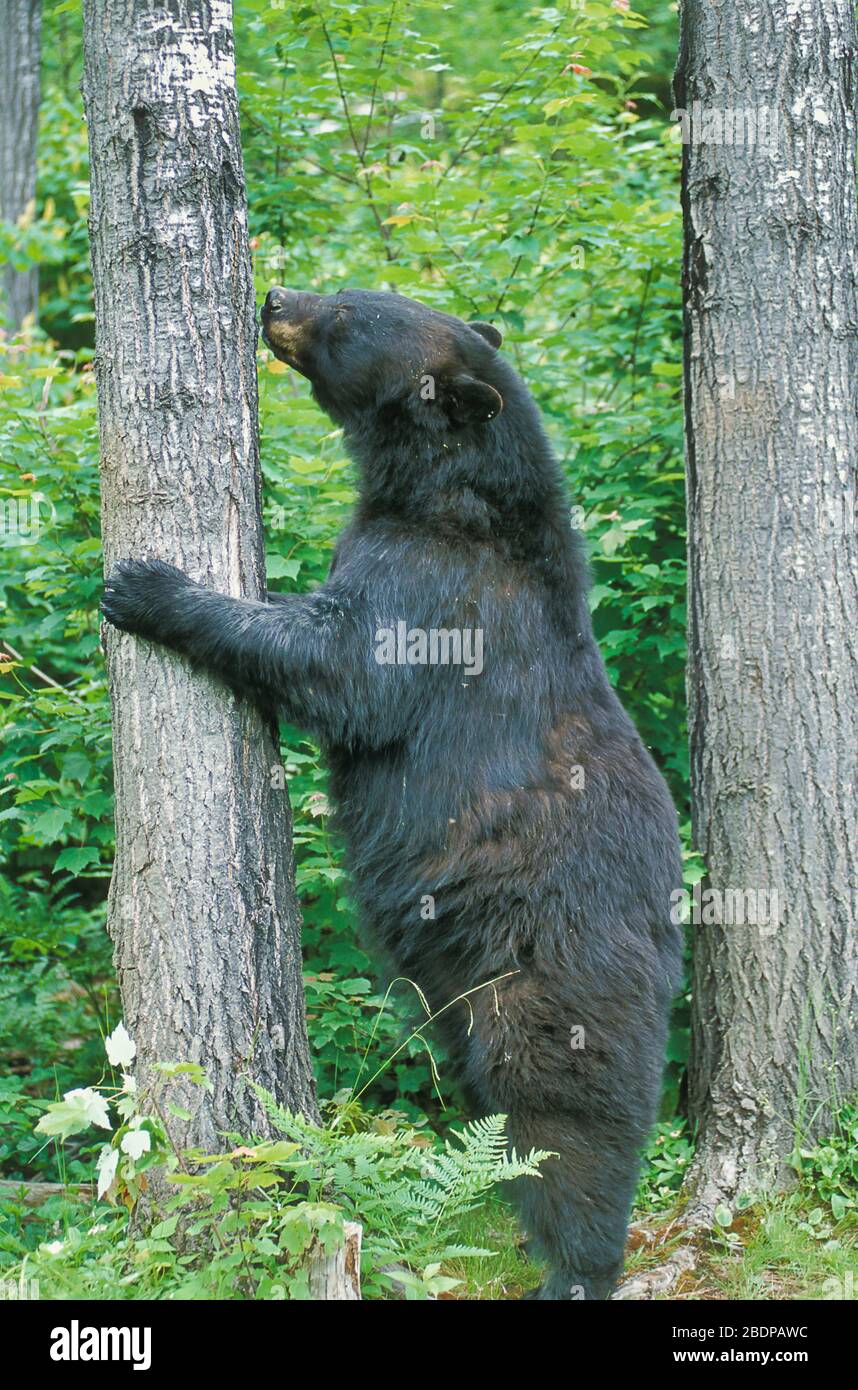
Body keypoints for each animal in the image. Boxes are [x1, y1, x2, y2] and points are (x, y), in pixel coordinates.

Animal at [101, 286, 683, 1300]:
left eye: (350, 313)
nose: (275, 297)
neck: (443, 495)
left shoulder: (430, 586)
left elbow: (340, 663)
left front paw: (148, 584)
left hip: (552, 979)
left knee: (570, 1123)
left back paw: (574, 1263)